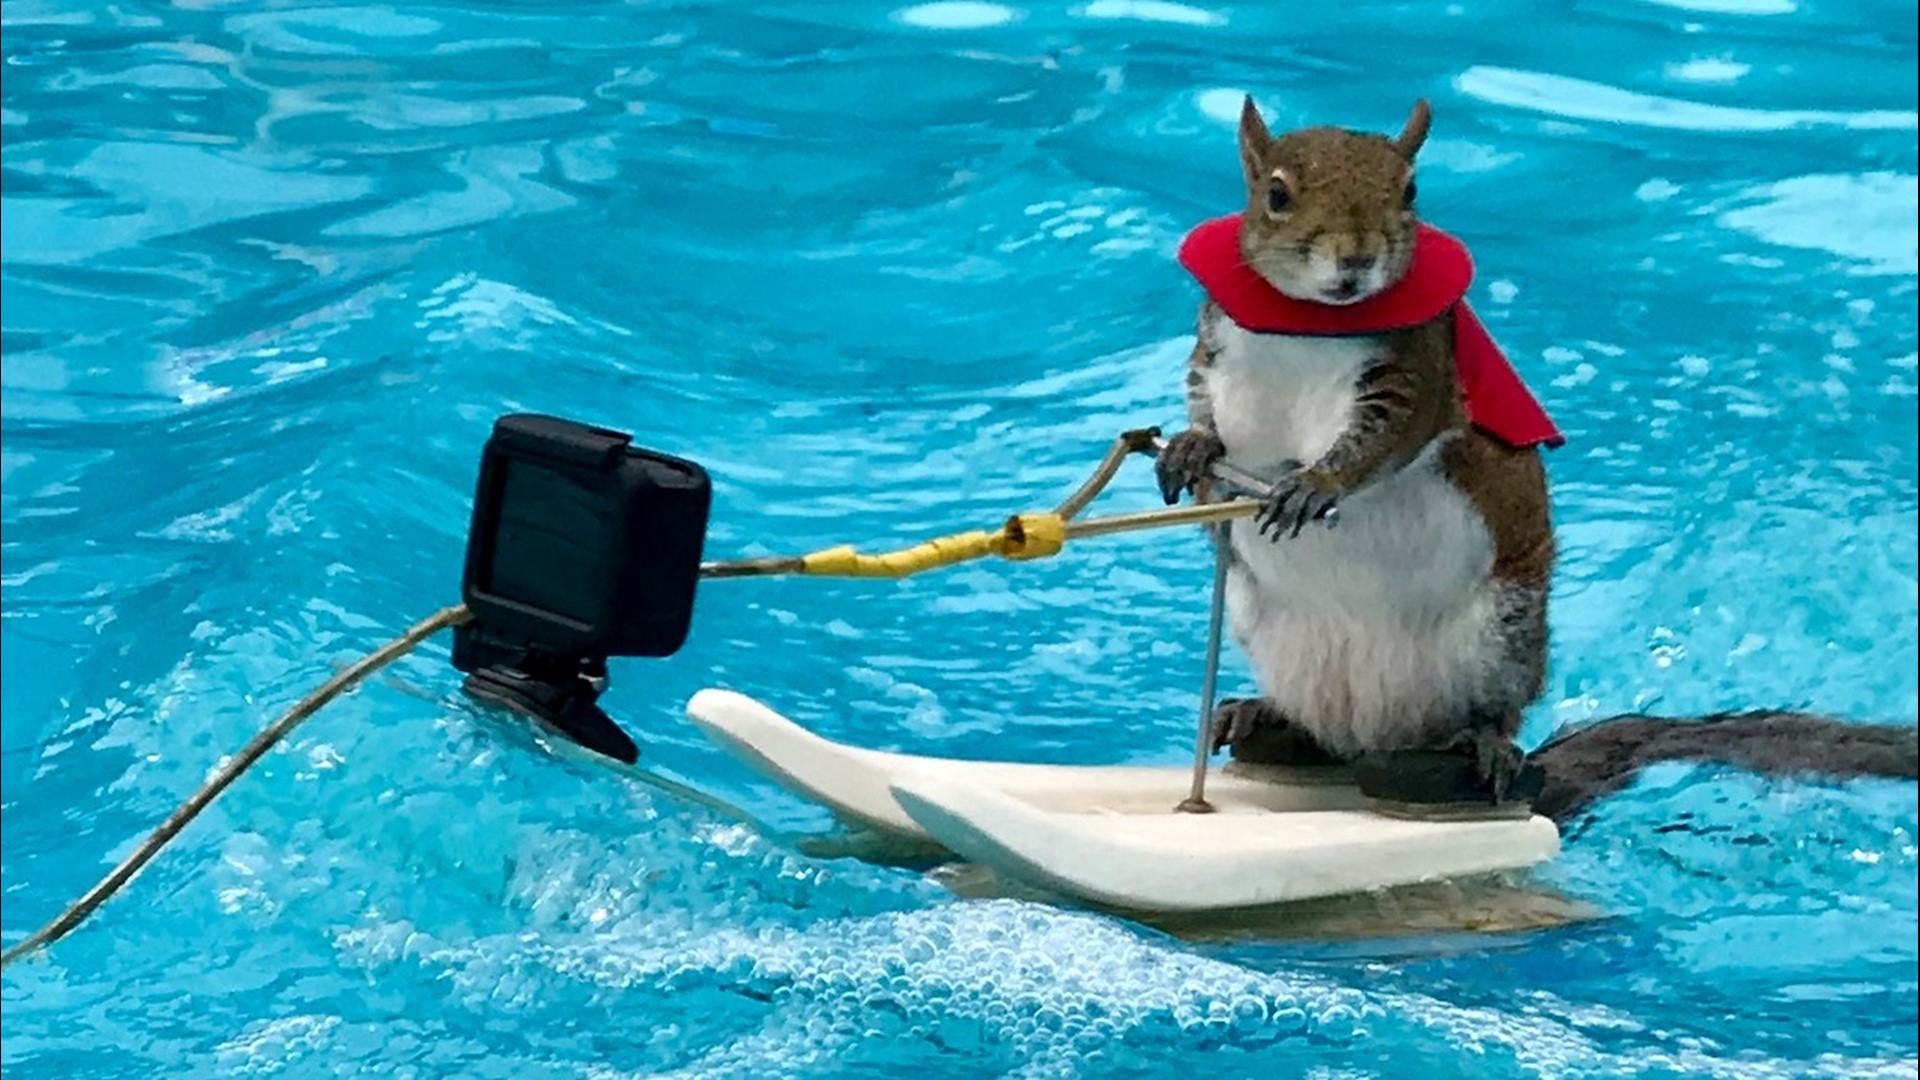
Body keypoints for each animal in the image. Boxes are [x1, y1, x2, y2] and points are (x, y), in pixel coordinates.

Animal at [1155, 96, 1917, 816]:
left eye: (1410, 190)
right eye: (1276, 194)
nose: (1355, 260)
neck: (1309, 328)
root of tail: (1384, 729)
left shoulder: (1419, 375)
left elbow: (1385, 441)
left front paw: (1317, 481)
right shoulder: (1214, 351)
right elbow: (1204, 411)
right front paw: (1190, 449)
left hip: (1504, 635)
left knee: (1489, 715)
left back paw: (1482, 746)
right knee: (1322, 737)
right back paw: (1262, 717)